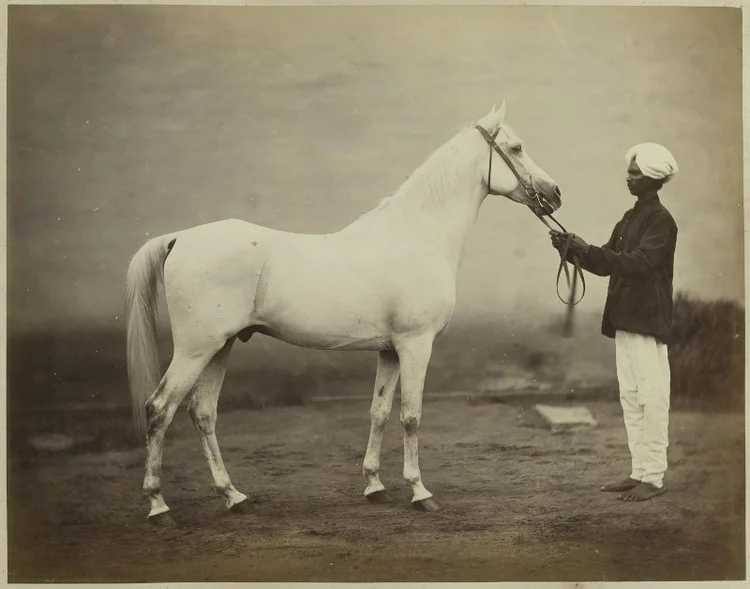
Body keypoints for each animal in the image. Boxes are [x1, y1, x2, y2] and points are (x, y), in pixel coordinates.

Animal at [125, 102, 562, 526]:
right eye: (517, 147)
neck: (417, 236)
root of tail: (179, 238)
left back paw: (233, 497)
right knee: (159, 409)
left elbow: (379, 412)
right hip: (195, 350)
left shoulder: (389, 351)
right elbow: (411, 416)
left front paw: (374, 485)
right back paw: (159, 506)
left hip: (221, 347)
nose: (555, 193)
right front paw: (420, 492)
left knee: (202, 413)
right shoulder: (415, 345)